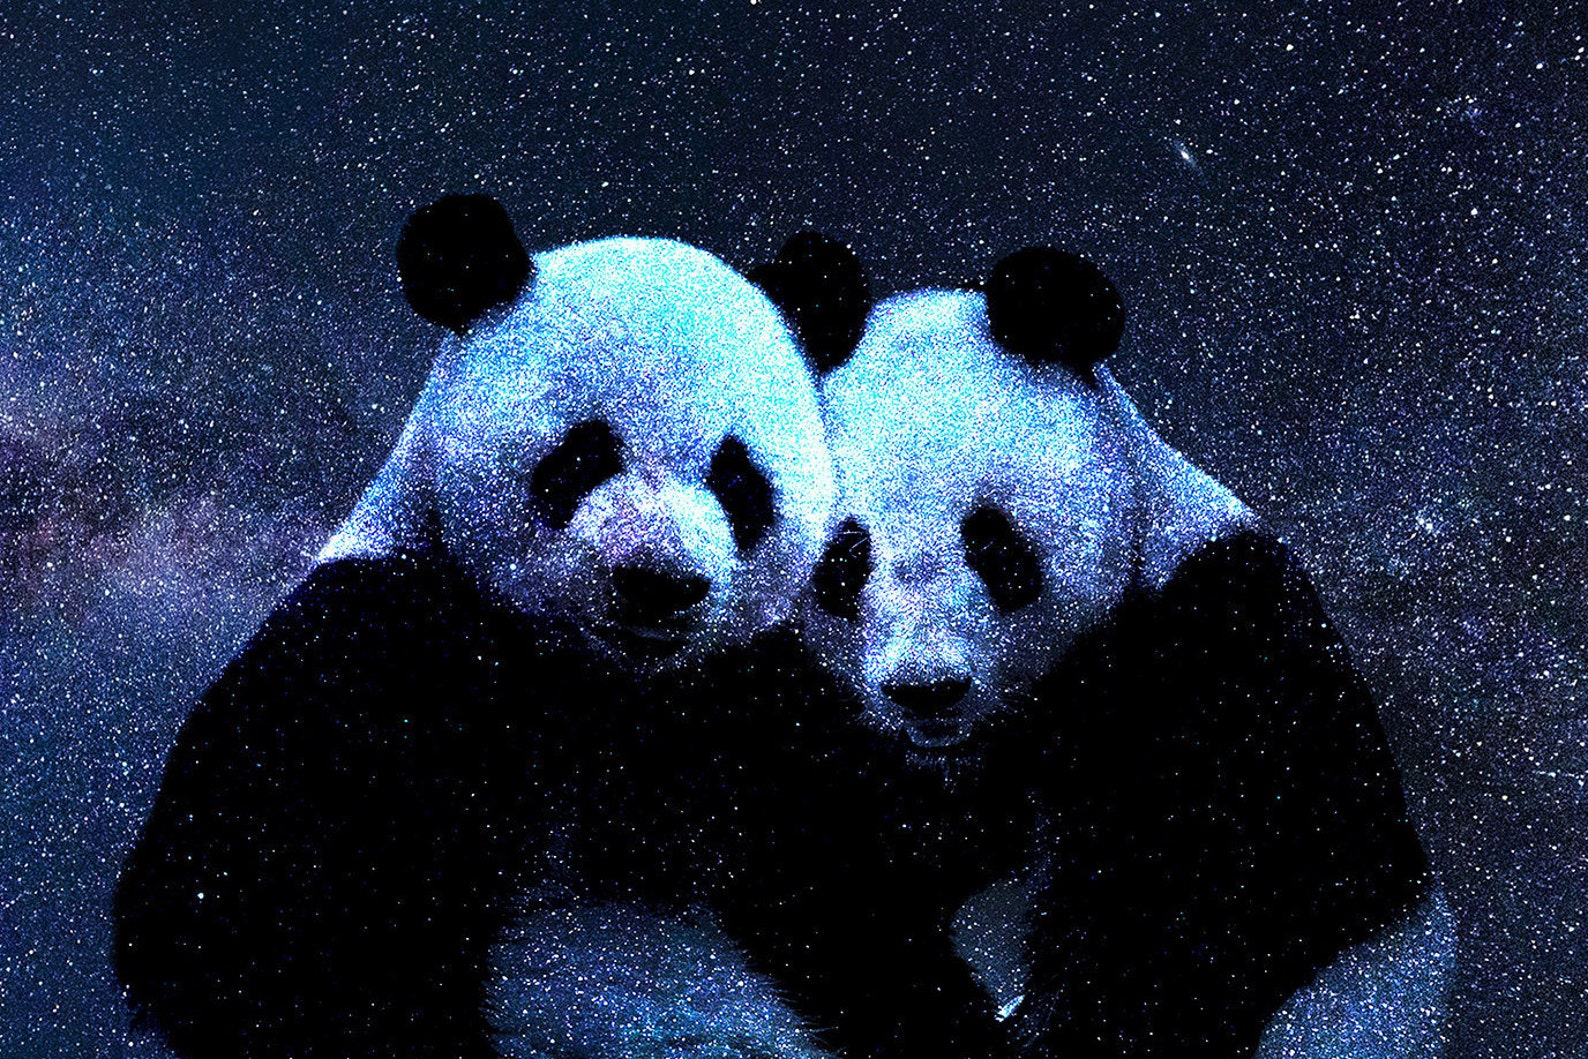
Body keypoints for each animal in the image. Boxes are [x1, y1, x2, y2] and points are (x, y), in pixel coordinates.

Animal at [113, 196, 848, 1059]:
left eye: (737, 477)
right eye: (584, 454)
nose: (658, 581)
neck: (604, 687)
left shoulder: (760, 703)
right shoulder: (375, 643)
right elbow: (234, 907)